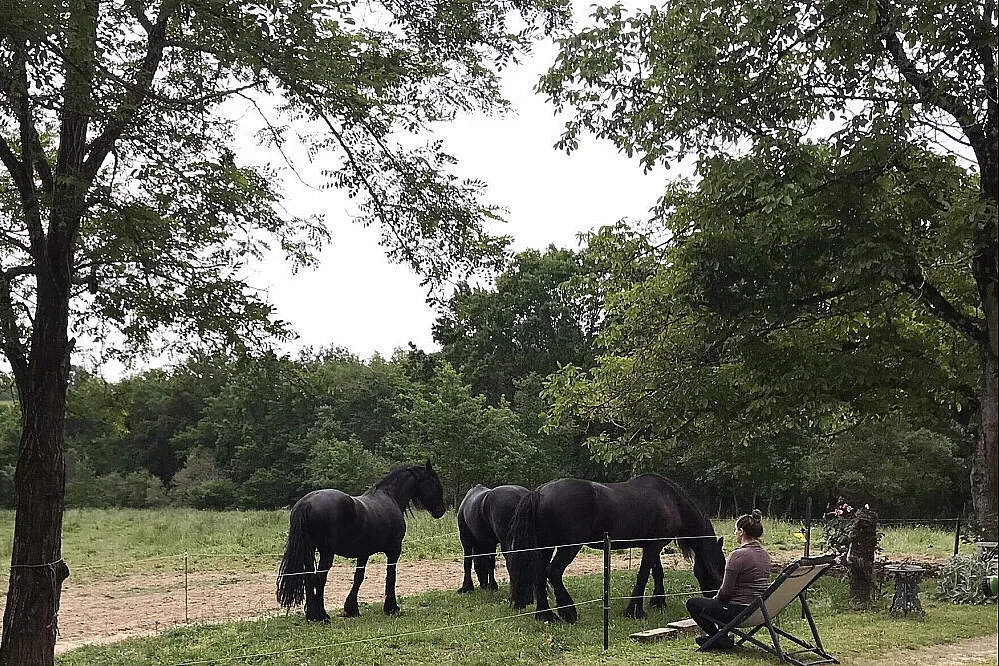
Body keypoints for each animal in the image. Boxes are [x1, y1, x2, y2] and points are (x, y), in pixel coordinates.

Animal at [276, 461, 447, 622]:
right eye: (435, 482)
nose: (441, 510)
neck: (390, 497)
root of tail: (307, 503)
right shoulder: (394, 550)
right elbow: (391, 576)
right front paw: (391, 608)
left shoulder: (363, 553)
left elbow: (358, 577)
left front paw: (351, 609)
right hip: (326, 553)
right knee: (320, 578)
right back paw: (322, 615)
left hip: (310, 550)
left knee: (309, 577)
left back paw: (312, 615)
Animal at [507, 474, 725, 623]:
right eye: (720, 570)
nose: (714, 600)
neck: (670, 500)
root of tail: (539, 492)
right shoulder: (653, 546)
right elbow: (643, 575)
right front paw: (635, 611)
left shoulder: (653, 546)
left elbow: (657, 573)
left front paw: (658, 602)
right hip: (568, 547)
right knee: (553, 572)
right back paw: (568, 611)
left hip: (546, 546)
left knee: (539, 574)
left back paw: (546, 616)